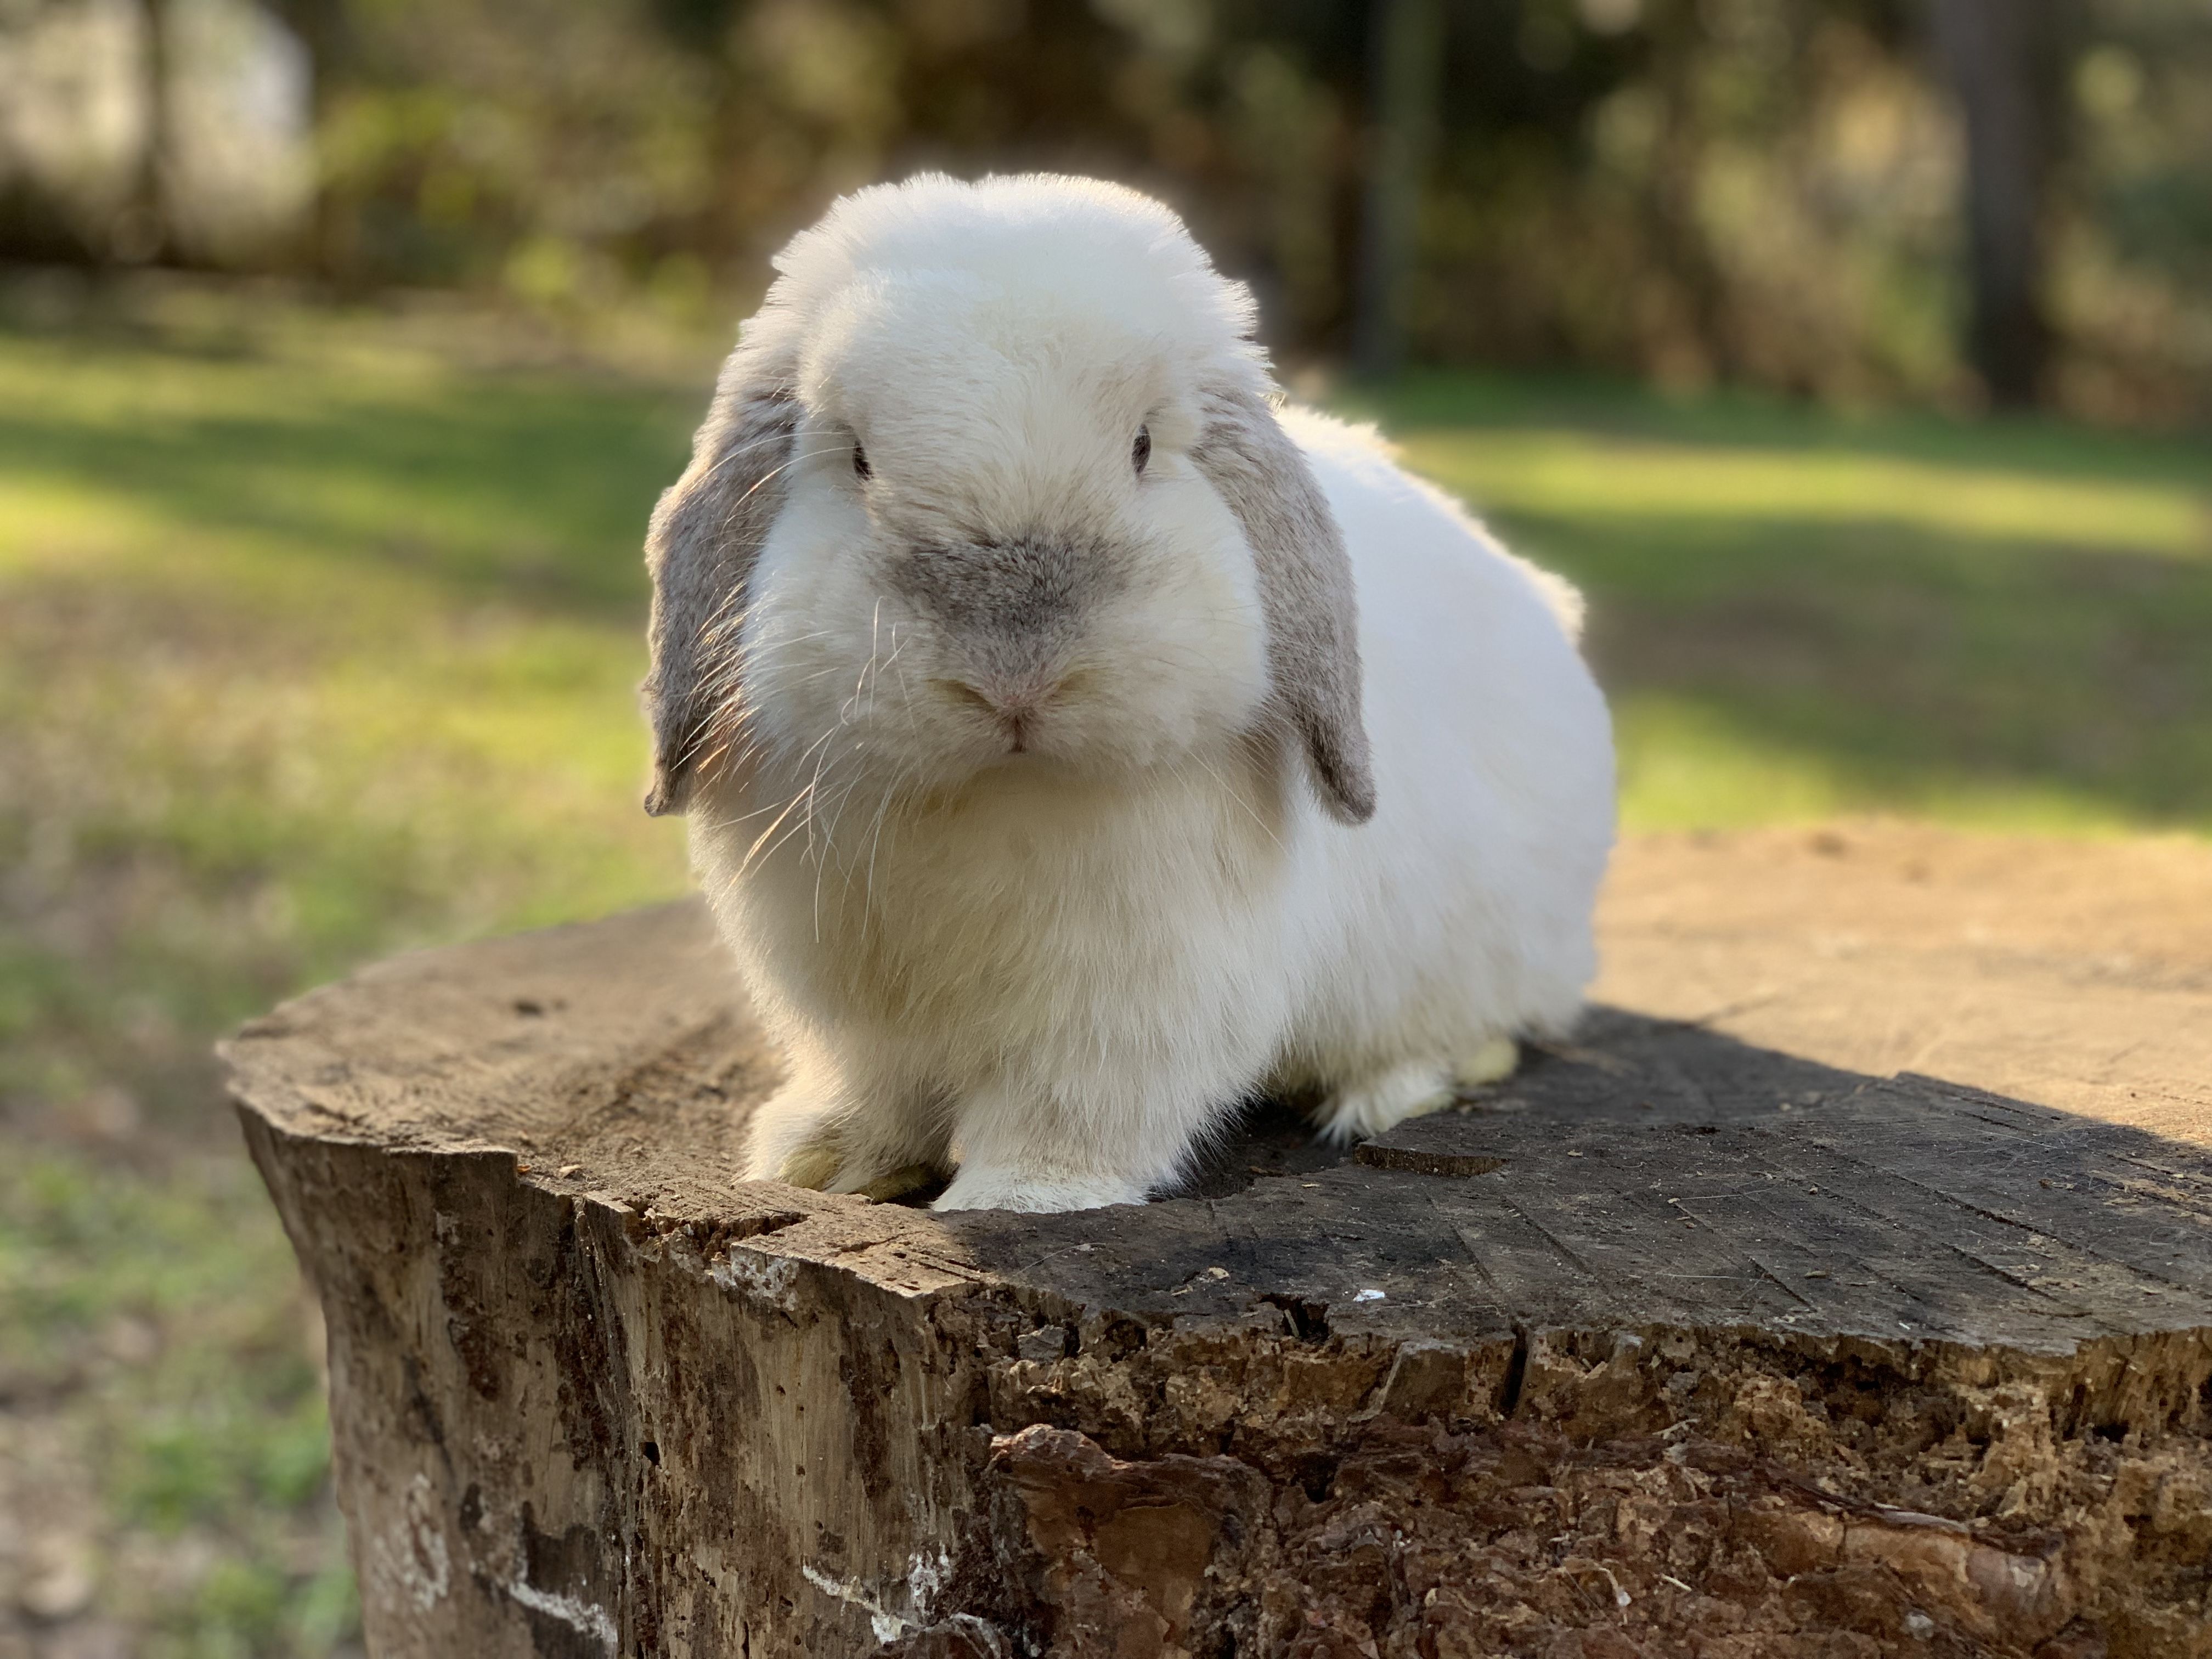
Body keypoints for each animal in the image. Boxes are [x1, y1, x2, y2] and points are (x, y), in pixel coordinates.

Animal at [641, 173, 1614, 1214]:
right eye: (857, 458)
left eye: (1144, 446)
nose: (1014, 675)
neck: (997, 796)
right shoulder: (857, 1007)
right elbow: (879, 1090)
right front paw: (823, 1161)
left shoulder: (1136, 1001)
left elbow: (1078, 1104)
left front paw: (1021, 1196)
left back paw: (1382, 1096)